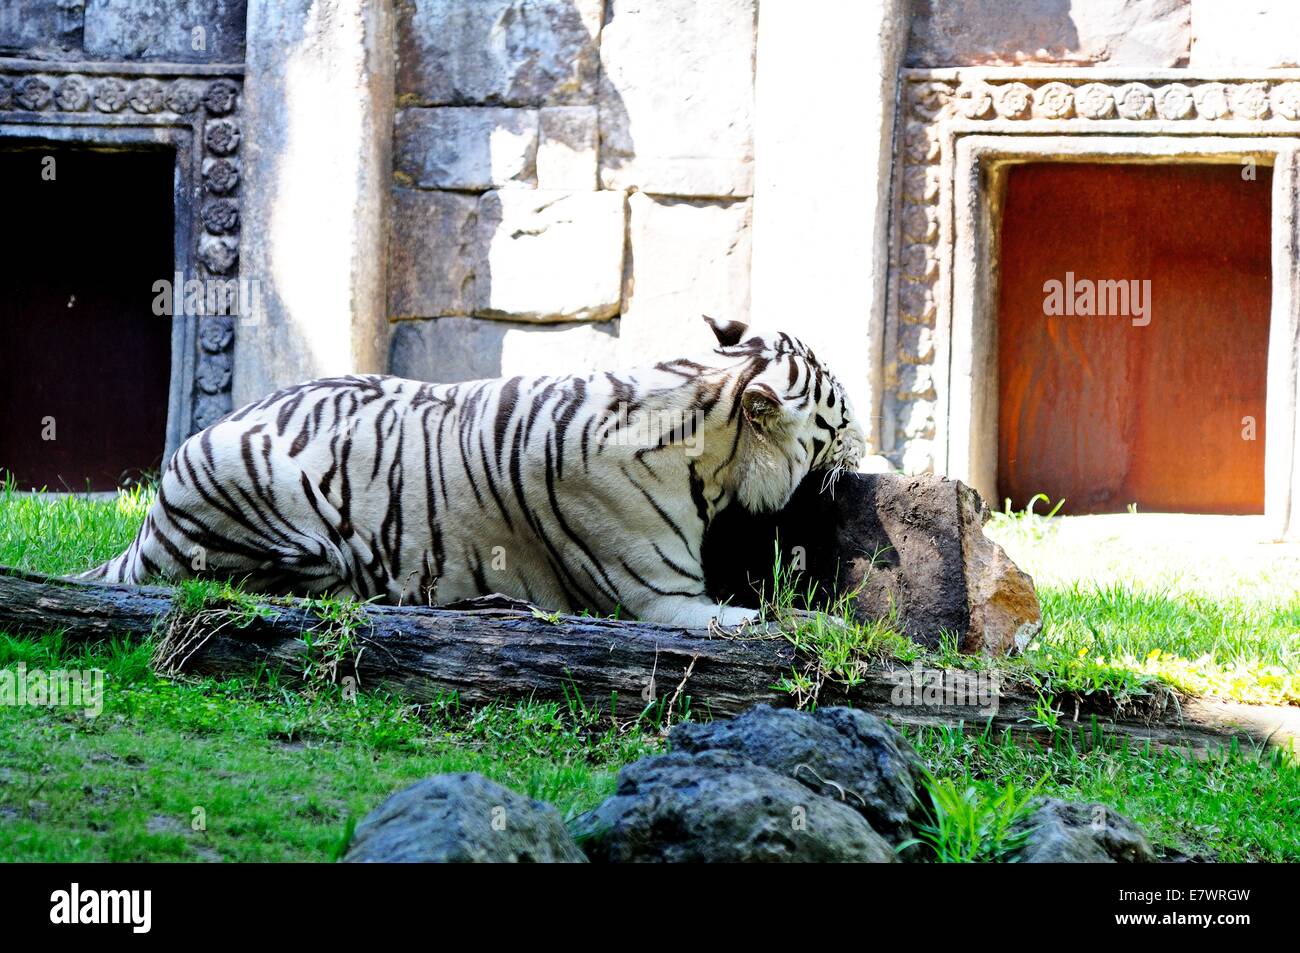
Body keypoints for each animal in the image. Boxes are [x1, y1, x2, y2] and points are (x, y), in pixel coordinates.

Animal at [82, 317, 866, 628]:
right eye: (840, 412)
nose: (868, 442)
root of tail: (147, 524)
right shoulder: (662, 602)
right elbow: (769, 622)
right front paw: (827, 627)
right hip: (271, 501)